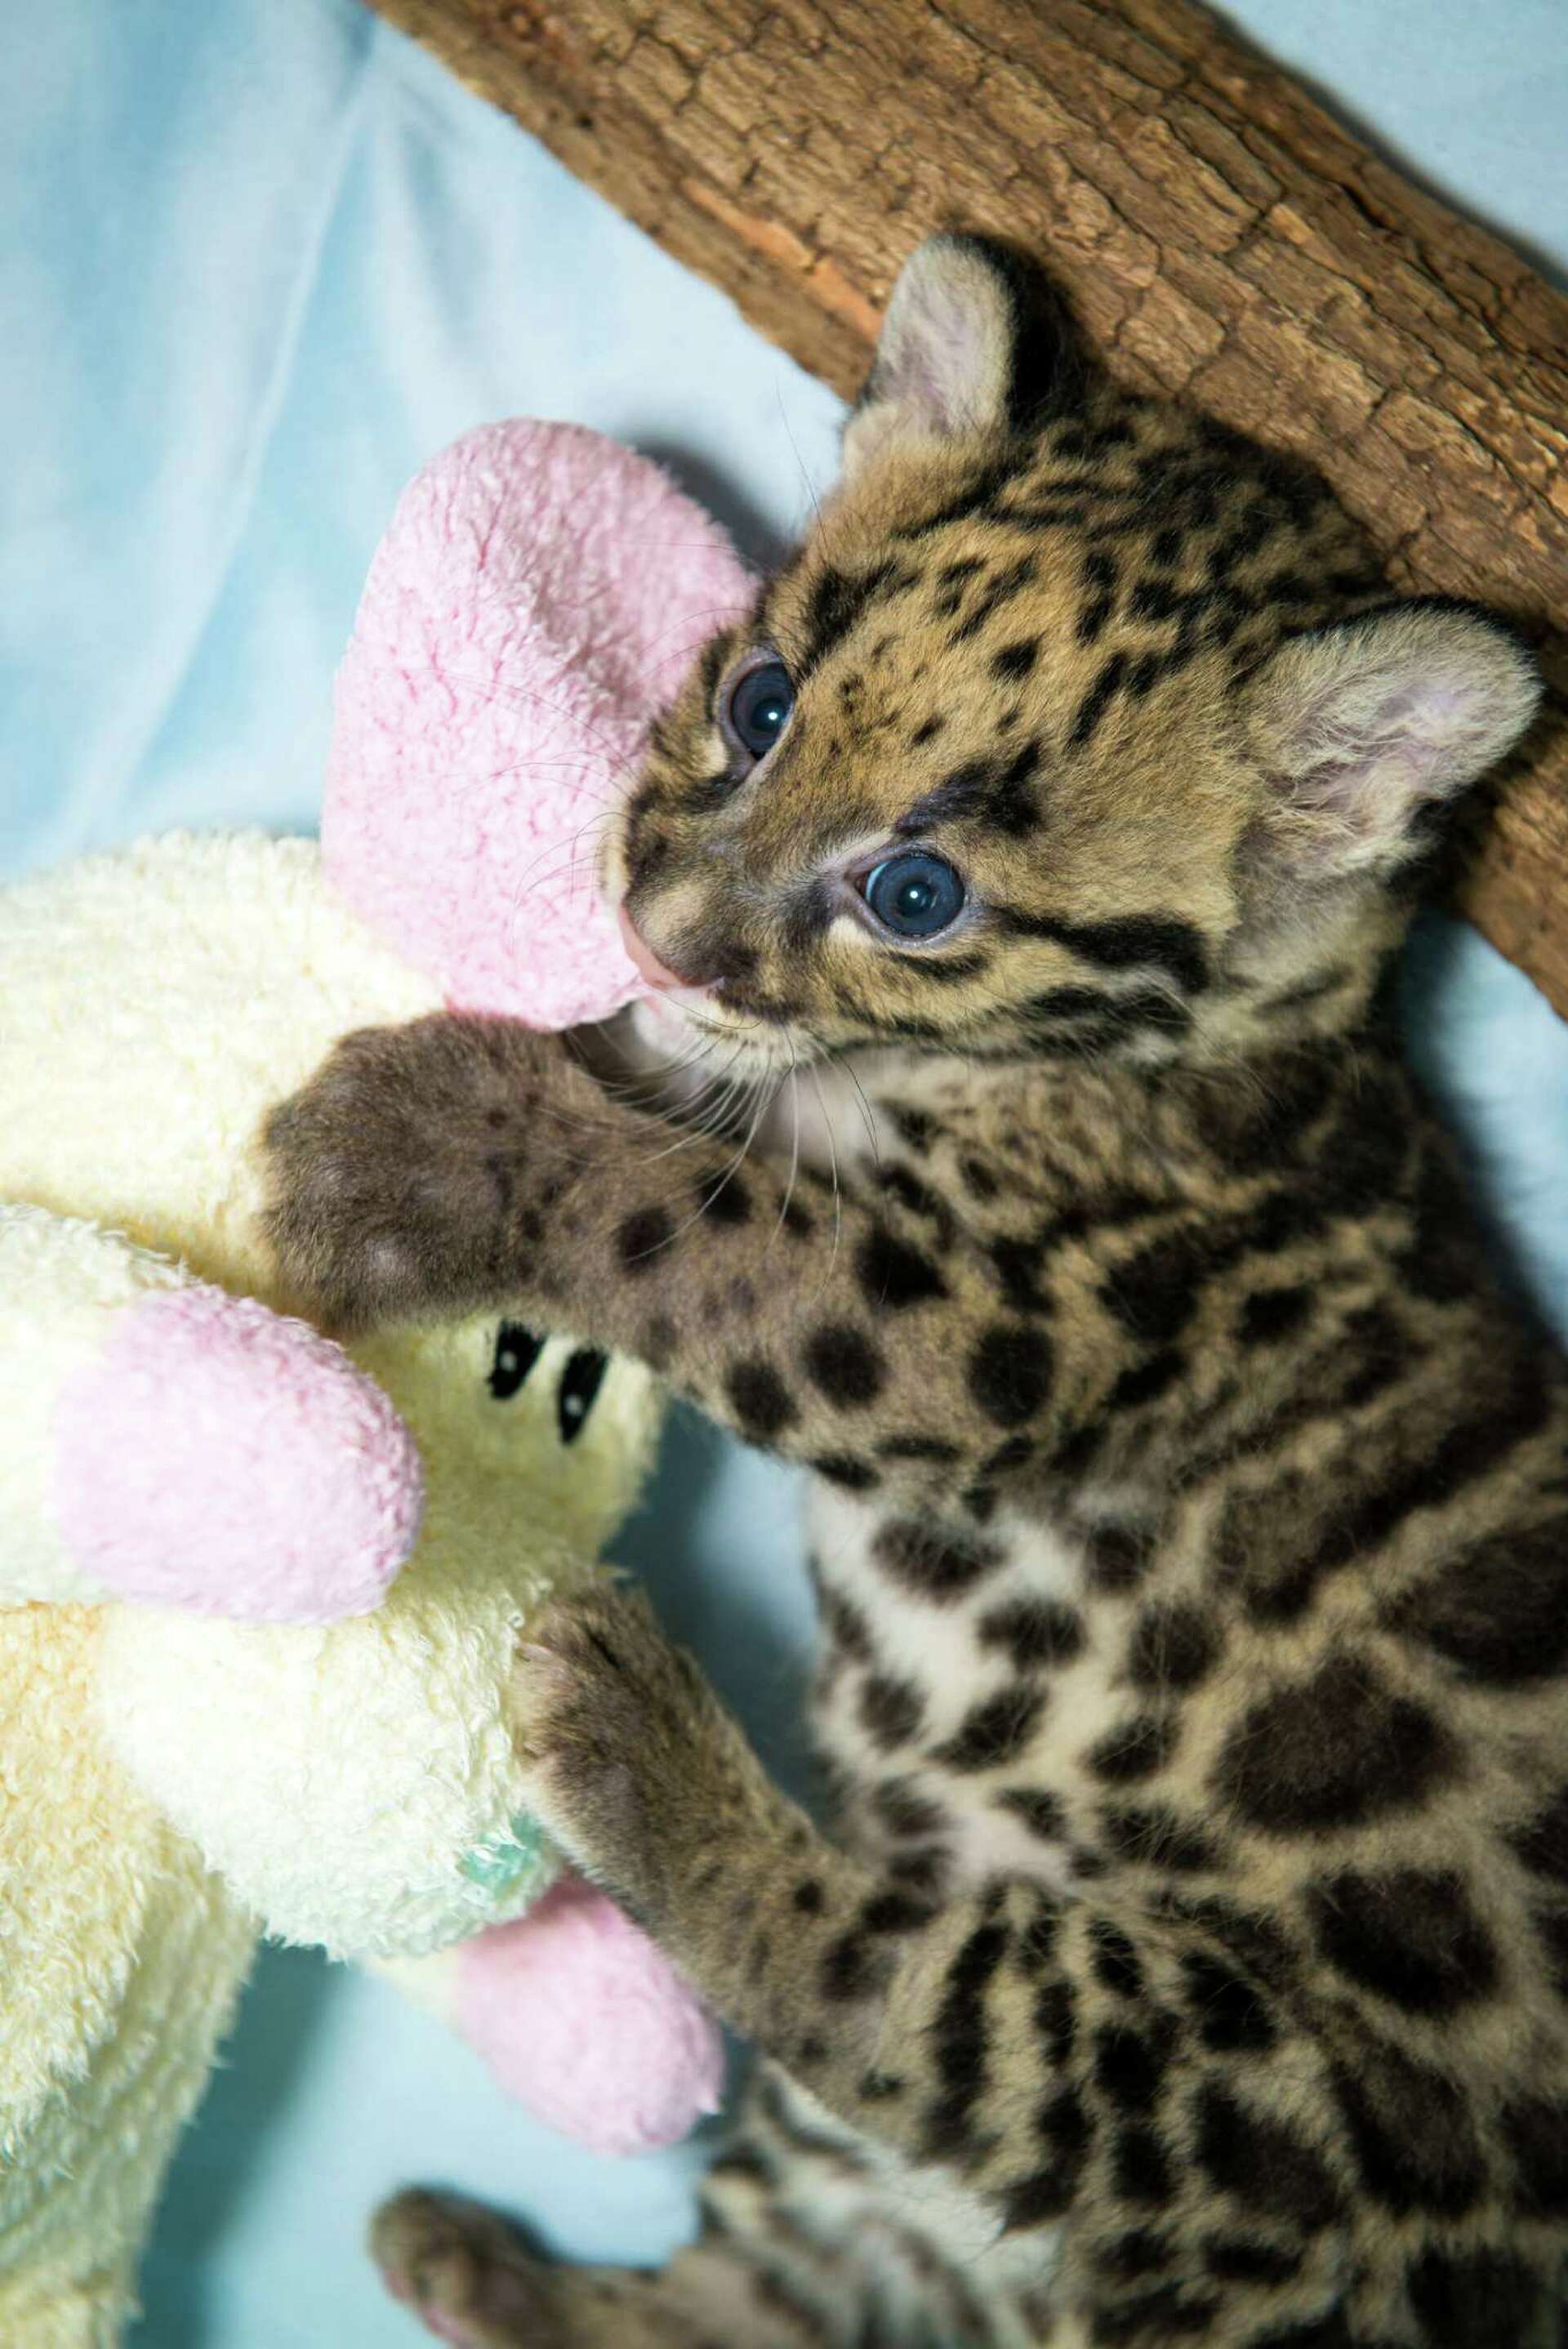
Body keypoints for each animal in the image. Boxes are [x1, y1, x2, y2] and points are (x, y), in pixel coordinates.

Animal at [262, 235, 1566, 2346]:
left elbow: (698, 1220)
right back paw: (477, 2255)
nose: (656, 926)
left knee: (902, 1988)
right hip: (865, 2195)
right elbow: (680, 1108)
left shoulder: (994, 1320)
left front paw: (421, 1146)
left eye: (919, 896)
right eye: (762, 699)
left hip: (1268, 2085)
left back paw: (638, 1738)